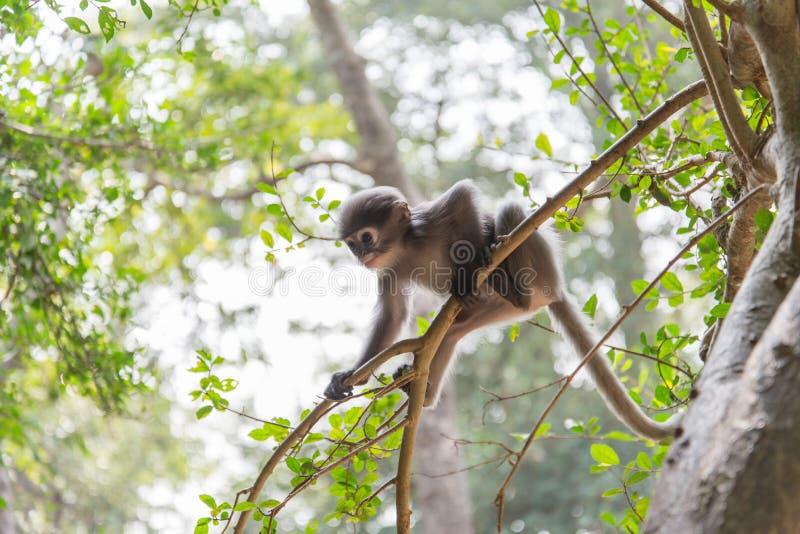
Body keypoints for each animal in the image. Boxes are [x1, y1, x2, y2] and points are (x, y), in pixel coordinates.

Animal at [324, 180, 682, 441]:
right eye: (352, 244)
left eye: (366, 237)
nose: (361, 256)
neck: (407, 246)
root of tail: (555, 291)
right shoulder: (389, 269)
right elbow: (394, 316)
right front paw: (350, 375)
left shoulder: (430, 223)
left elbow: (462, 197)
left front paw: (474, 259)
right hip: (495, 310)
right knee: (449, 333)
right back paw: (422, 393)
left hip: (540, 270)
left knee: (509, 212)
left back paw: (503, 280)